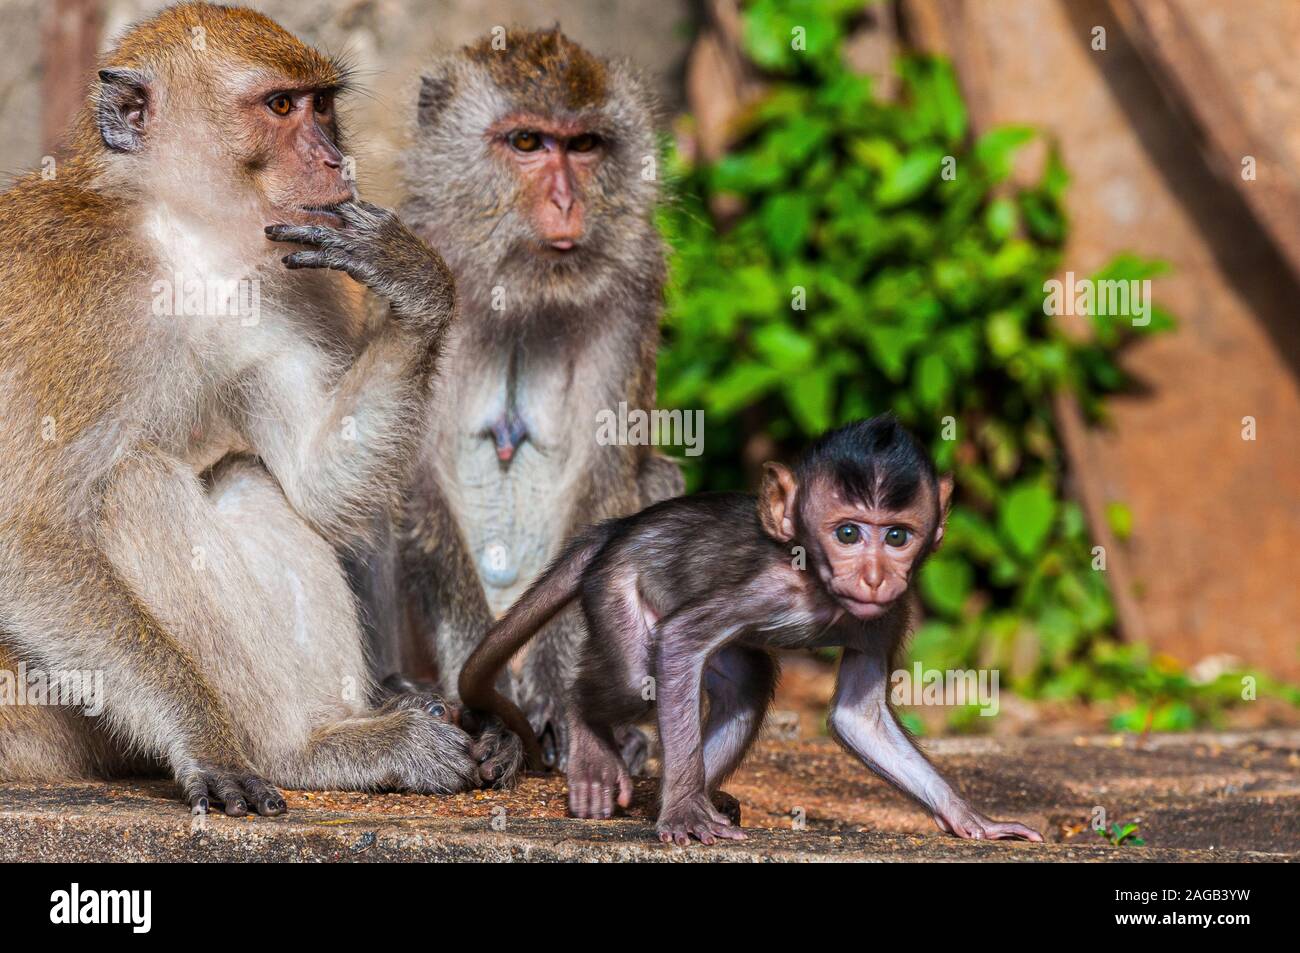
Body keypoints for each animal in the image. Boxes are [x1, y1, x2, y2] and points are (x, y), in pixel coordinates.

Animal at [0, 3, 498, 816]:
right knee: (133, 485)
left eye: (322, 104)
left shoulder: (286, 284)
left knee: (245, 475)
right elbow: (27, 537)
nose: (335, 161)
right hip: (35, 714)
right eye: (280, 106)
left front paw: (415, 281)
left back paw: (341, 736)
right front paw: (204, 738)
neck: (178, 239)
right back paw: (290, 750)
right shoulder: (78, 292)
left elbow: (314, 481)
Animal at [377, 27, 683, 774]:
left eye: (584, 145)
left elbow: (604, 481)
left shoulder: (631, 293)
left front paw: (561, 707)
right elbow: (416, 480)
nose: (569, 204)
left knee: (658, 481)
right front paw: (486, 713)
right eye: (526, 143)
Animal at [459, 416, 1045, 845]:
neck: (820, 589)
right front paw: (683, 814)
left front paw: (970, 818)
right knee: (632, 679)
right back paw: (595, 740)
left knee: (748, 682)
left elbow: (859, 717)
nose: (875, 577)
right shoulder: (766, 586)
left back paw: (675, 798)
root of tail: (620, 527)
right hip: (615, 586)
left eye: (897, 536)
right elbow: (679, 640)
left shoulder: (890, 614)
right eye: (848, 533)